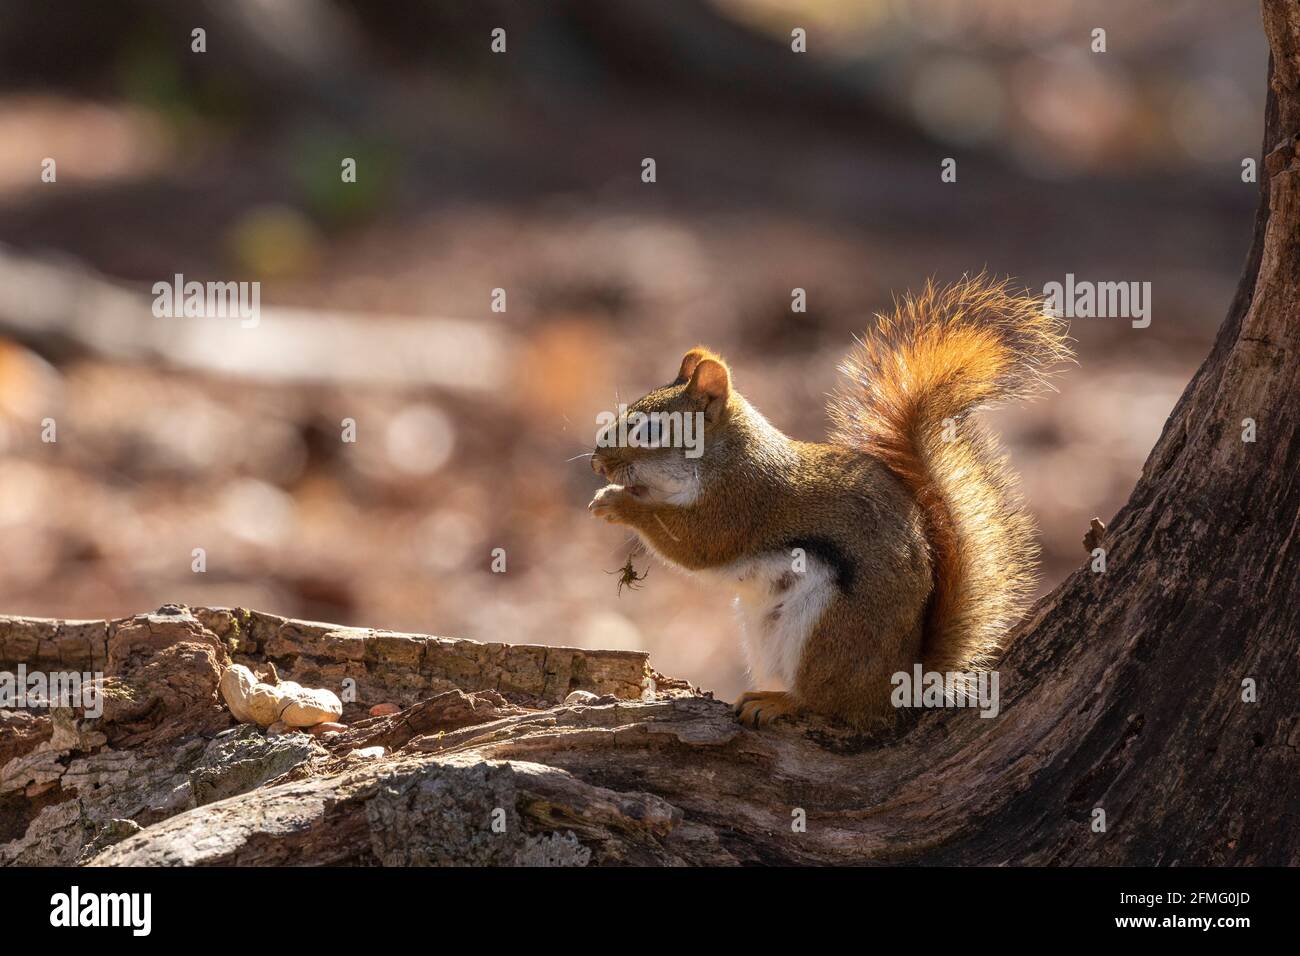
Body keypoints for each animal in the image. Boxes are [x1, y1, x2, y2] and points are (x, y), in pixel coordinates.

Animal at [589, 274, 1071, 731]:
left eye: (652, 431)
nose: (597, 462)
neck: (725, 456)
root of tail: (898, 687)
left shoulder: (742, 502)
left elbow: (693, 544)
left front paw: (618, 504)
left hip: (826, 630)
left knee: (823, 701)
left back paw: (778, 702)